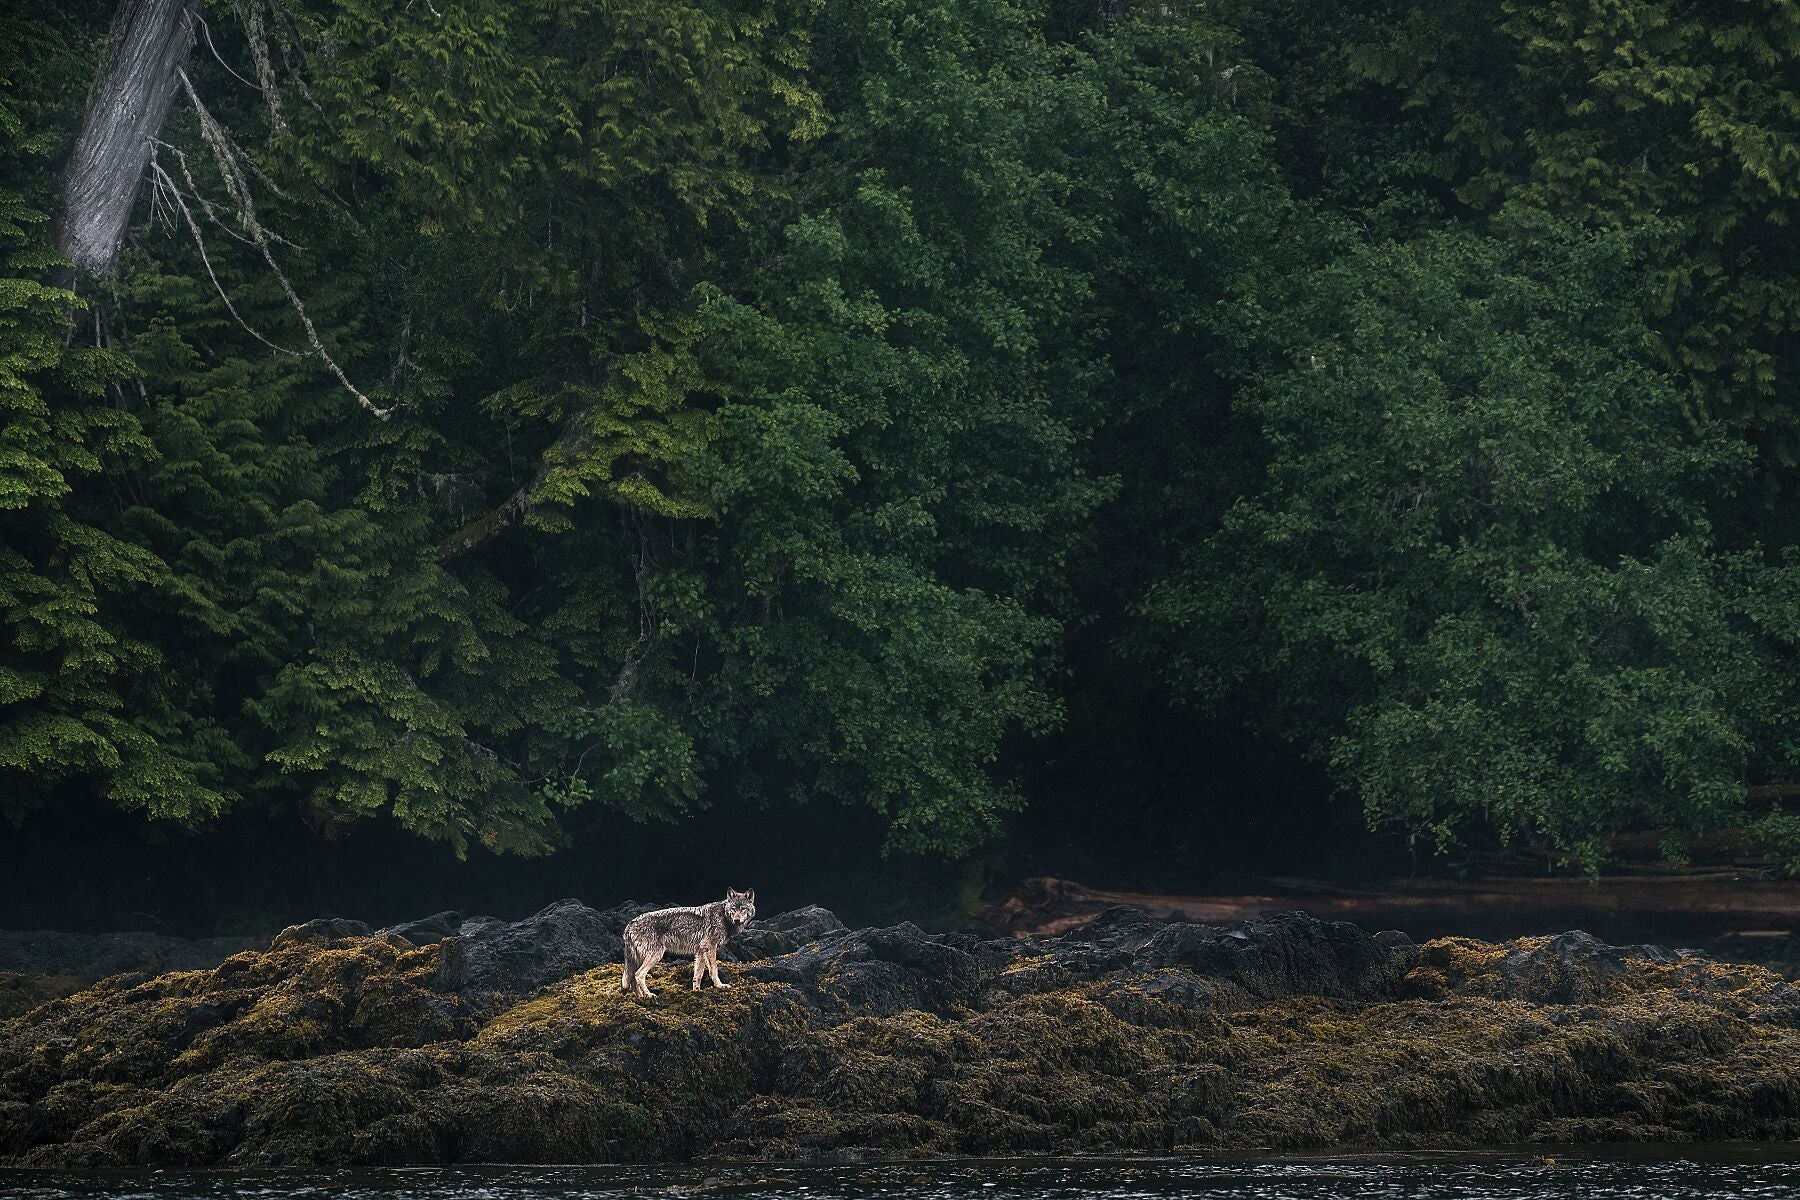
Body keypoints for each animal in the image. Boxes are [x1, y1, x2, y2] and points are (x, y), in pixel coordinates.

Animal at [620, 887, 756, 997]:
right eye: (733, 909)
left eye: (742, 909)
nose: (737, 920)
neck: (723, 916)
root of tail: (629, 924)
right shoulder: (710, 948)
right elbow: (714, 970)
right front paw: (720, 986)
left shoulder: (701, 951)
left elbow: (698, 975)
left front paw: (697, 992)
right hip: (655, 955)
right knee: (638, 975)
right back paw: (648, 995)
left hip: (639, 958)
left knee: (632, 978)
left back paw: (640, 997)